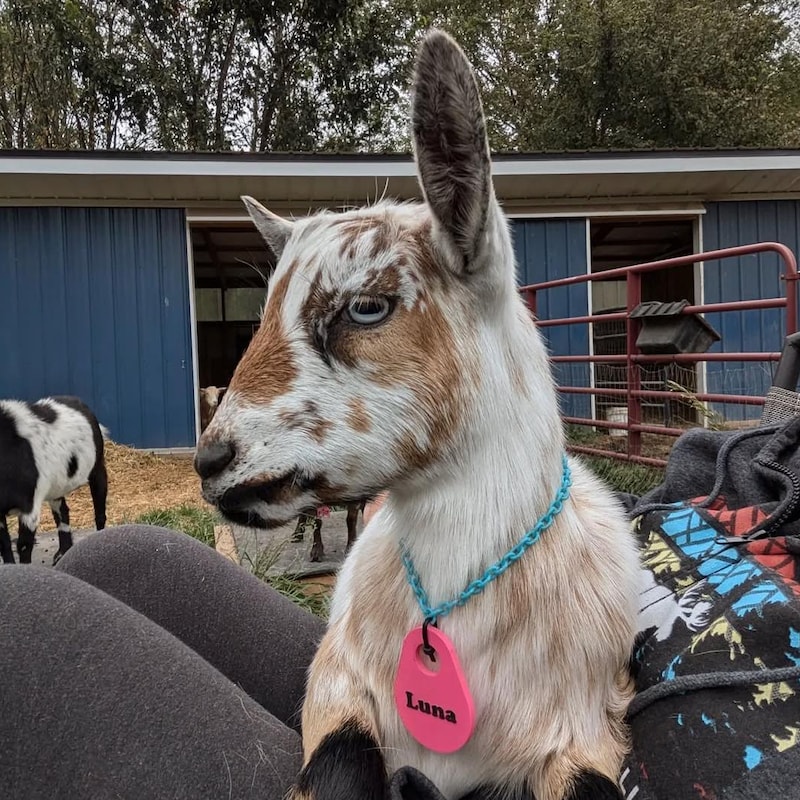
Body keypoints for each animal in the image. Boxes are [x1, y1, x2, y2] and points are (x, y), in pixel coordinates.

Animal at [0, 395, 108, 565]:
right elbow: (4, 543)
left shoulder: (30, 506)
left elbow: (24, 544)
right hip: (57, 486)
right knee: (62, 512)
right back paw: (62, 553)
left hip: (97, 468)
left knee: (100, 509)